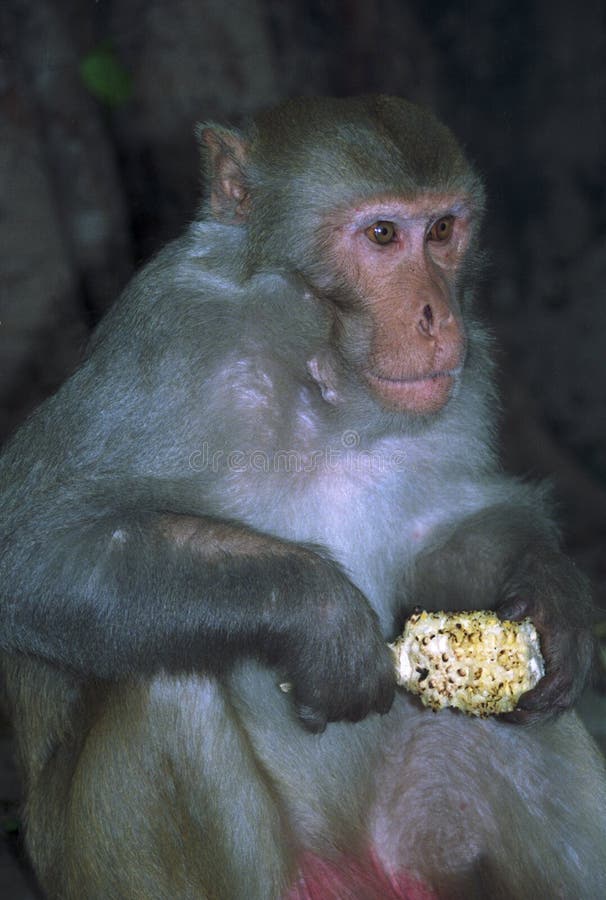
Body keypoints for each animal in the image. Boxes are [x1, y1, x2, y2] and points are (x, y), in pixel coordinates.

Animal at [0, 95, 605, 899]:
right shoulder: (164, 341)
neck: (318, 372)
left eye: (443, 230)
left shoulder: (465, 382)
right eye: (382, 235)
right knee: (163, 677)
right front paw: (323, 617)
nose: (437, 317)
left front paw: (552, 592)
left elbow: (447, 536)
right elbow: (34, 551)